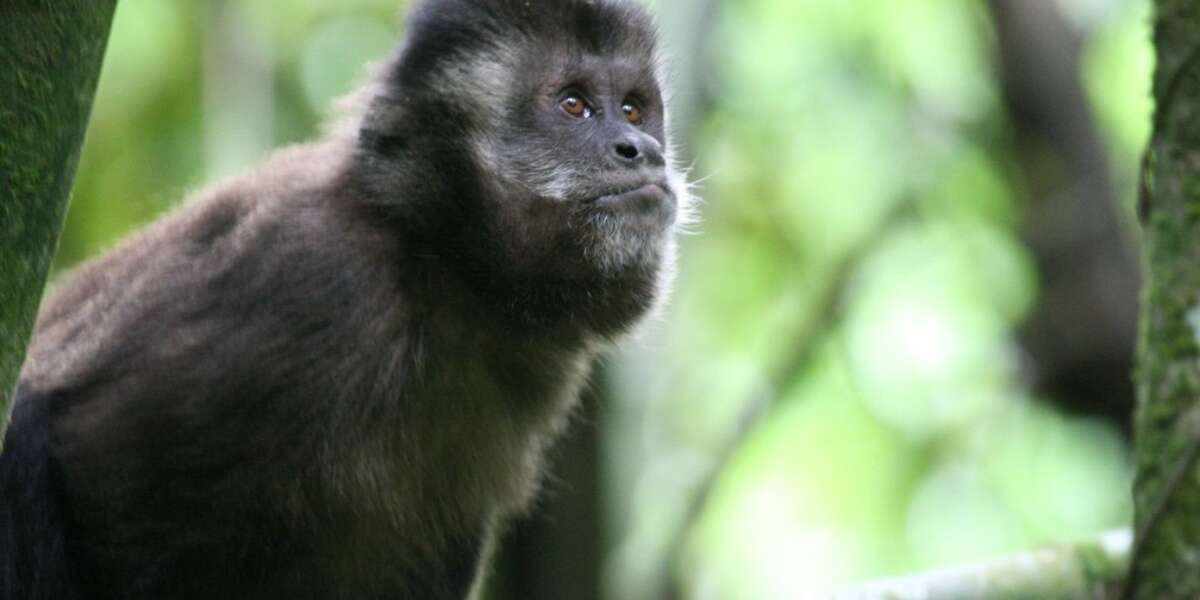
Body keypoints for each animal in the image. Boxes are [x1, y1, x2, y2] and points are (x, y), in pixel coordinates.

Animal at [0, 0, 693, 598]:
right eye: (574, 105)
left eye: (633, 111)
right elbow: (69, 448)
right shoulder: (311, 283)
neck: (436, 269)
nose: (643, 150)